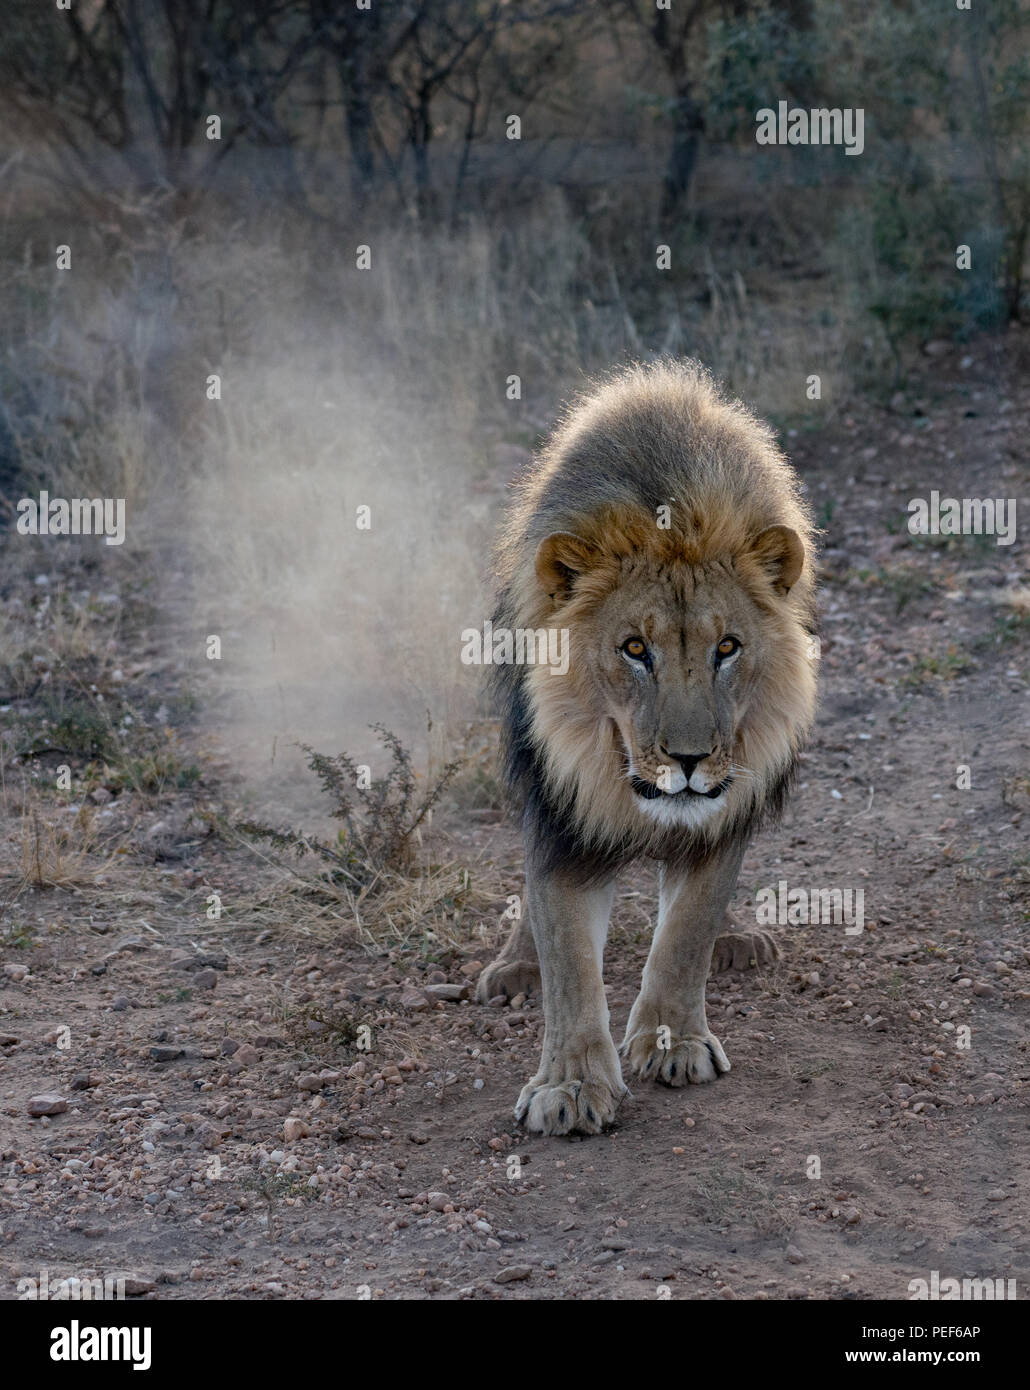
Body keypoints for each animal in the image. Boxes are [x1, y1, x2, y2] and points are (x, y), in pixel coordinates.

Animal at [476, 360, 818, 1136]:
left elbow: (688, 928)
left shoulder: (728, 807)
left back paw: (738, 940)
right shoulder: (562, 812)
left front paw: (673, 1041)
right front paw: (570, 1086)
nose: (688, 760)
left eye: (728, 648)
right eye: (635, 650)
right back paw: (515, 967)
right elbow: (568, 961)